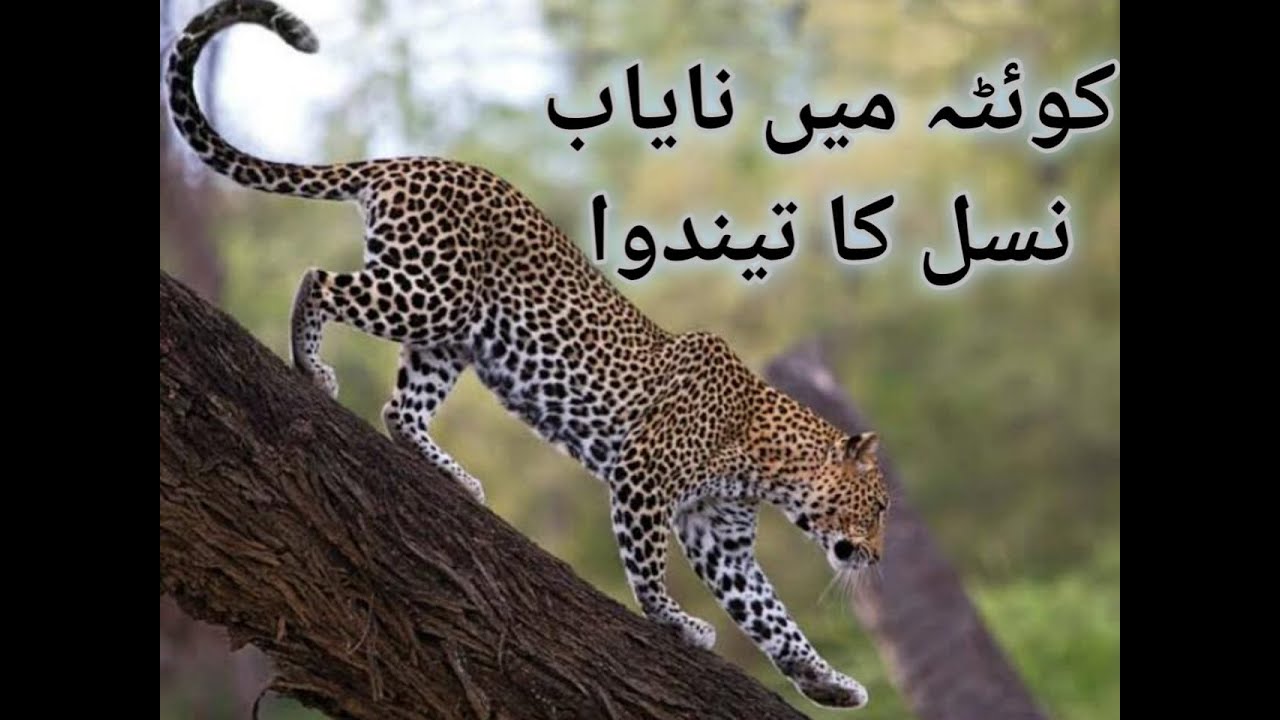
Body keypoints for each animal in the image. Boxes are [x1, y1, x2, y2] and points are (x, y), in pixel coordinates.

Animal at [165, 0, 891, 709]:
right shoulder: (644, 477)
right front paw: (675, 622)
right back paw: (311, 366)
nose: (878, 559)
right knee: (318, 281)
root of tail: (412, 162)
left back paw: (454, 477)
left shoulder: (721, 537)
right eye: (880, 507)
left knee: (401, 410)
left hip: (451, 336)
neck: (768, 464)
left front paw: (826, 681)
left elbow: (771, 615)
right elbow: (650, 568)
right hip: (428, 294)